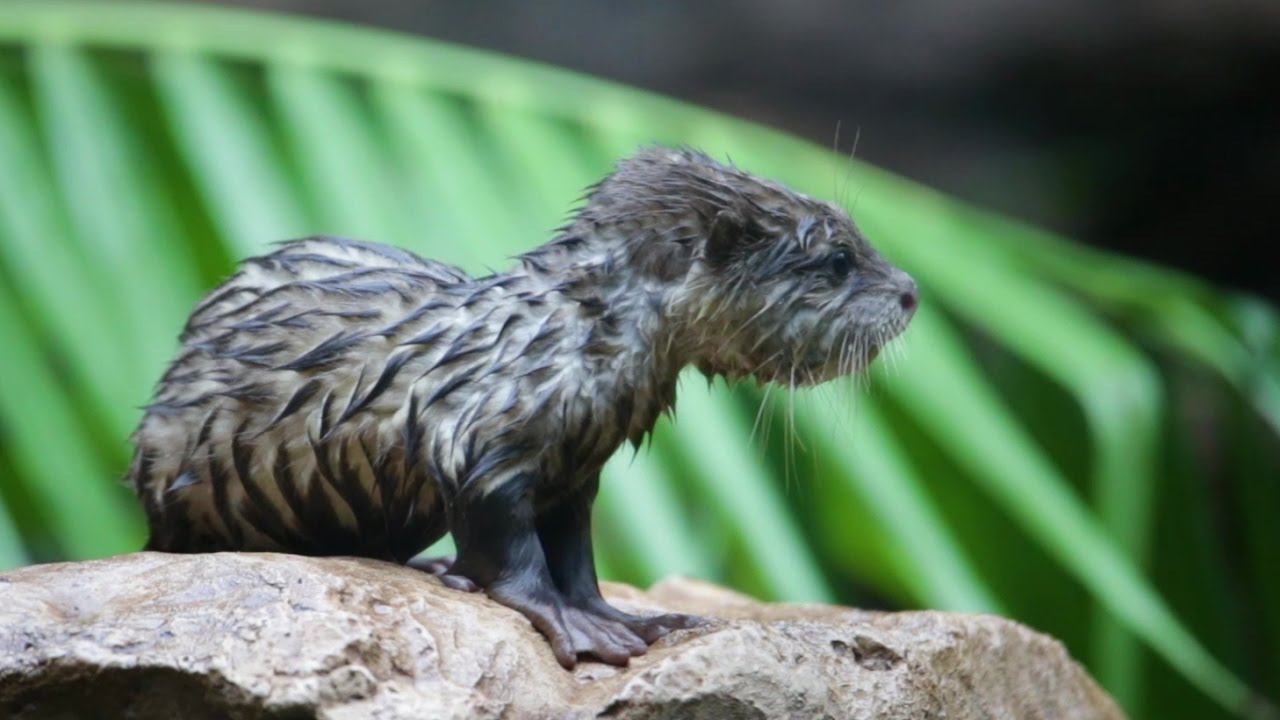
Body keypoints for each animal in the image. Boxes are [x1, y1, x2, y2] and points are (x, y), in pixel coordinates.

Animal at [128, 147, 918, 669]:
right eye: (839, 260)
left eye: (858, 236)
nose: (911, 290)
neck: (573, 343)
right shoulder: (479, 443)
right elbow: (514, 555)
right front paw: (579, 630)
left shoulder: (576, 470)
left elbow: (575, 556)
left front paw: (634, 618)